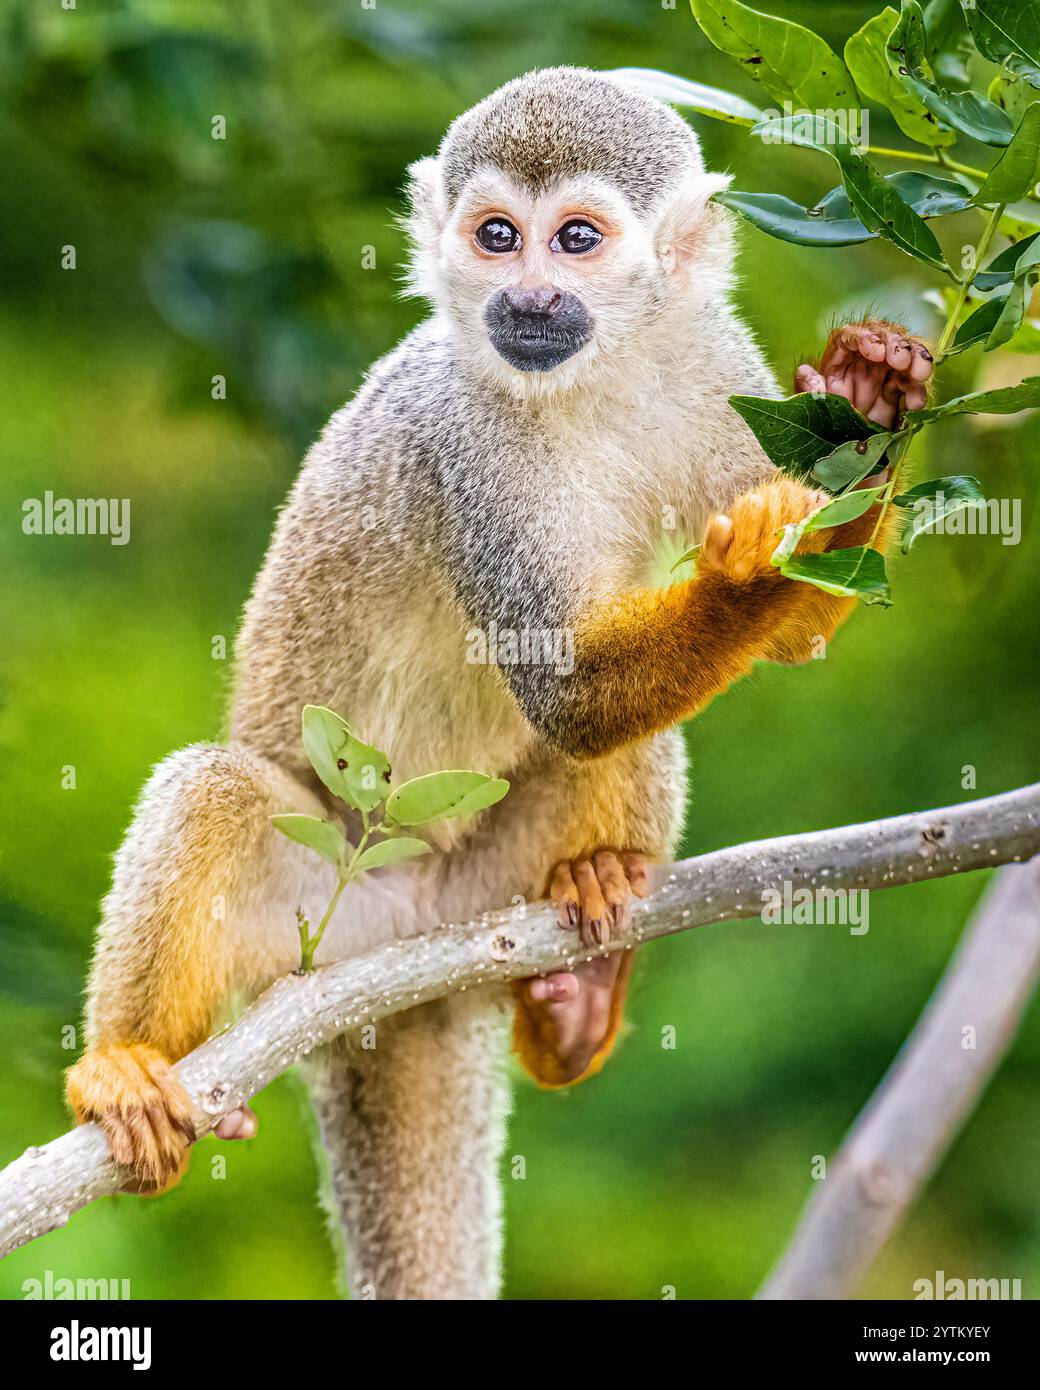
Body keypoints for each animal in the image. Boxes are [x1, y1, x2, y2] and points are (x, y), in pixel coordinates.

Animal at [64, 67, 933, 1299]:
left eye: (573, 240)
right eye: (495, 236)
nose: (524, 299)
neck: (591, 376)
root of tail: (398, 968)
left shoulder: (712, 360)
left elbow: (790, 636)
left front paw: (870, 393)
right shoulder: (462, 444)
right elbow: (570, 690)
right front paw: (748, 572)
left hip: (485, 893)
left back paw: (581, 977)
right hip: (316, 905)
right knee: (214, 791)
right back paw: (128, 1068)